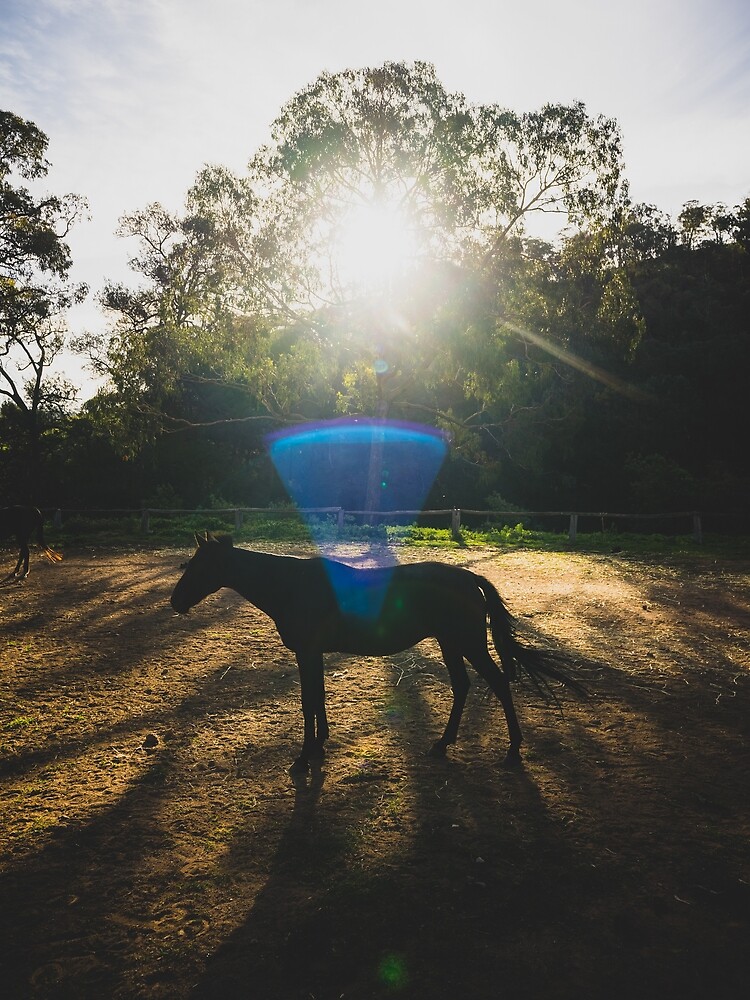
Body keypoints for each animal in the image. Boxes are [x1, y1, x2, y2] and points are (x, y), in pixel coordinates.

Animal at [170, 533, 581, 773]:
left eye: (201, 566)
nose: (175, 601)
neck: (292, 586)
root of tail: (469, 578)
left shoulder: (306, 653)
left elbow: (308, 701)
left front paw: (303, 757)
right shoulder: (314, 654)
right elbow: (319, 697)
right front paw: (319, 745)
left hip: (467, 643)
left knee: (497, 683)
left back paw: (512, 750)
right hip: (450, 643)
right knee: (462, 686)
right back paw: (442, 744)